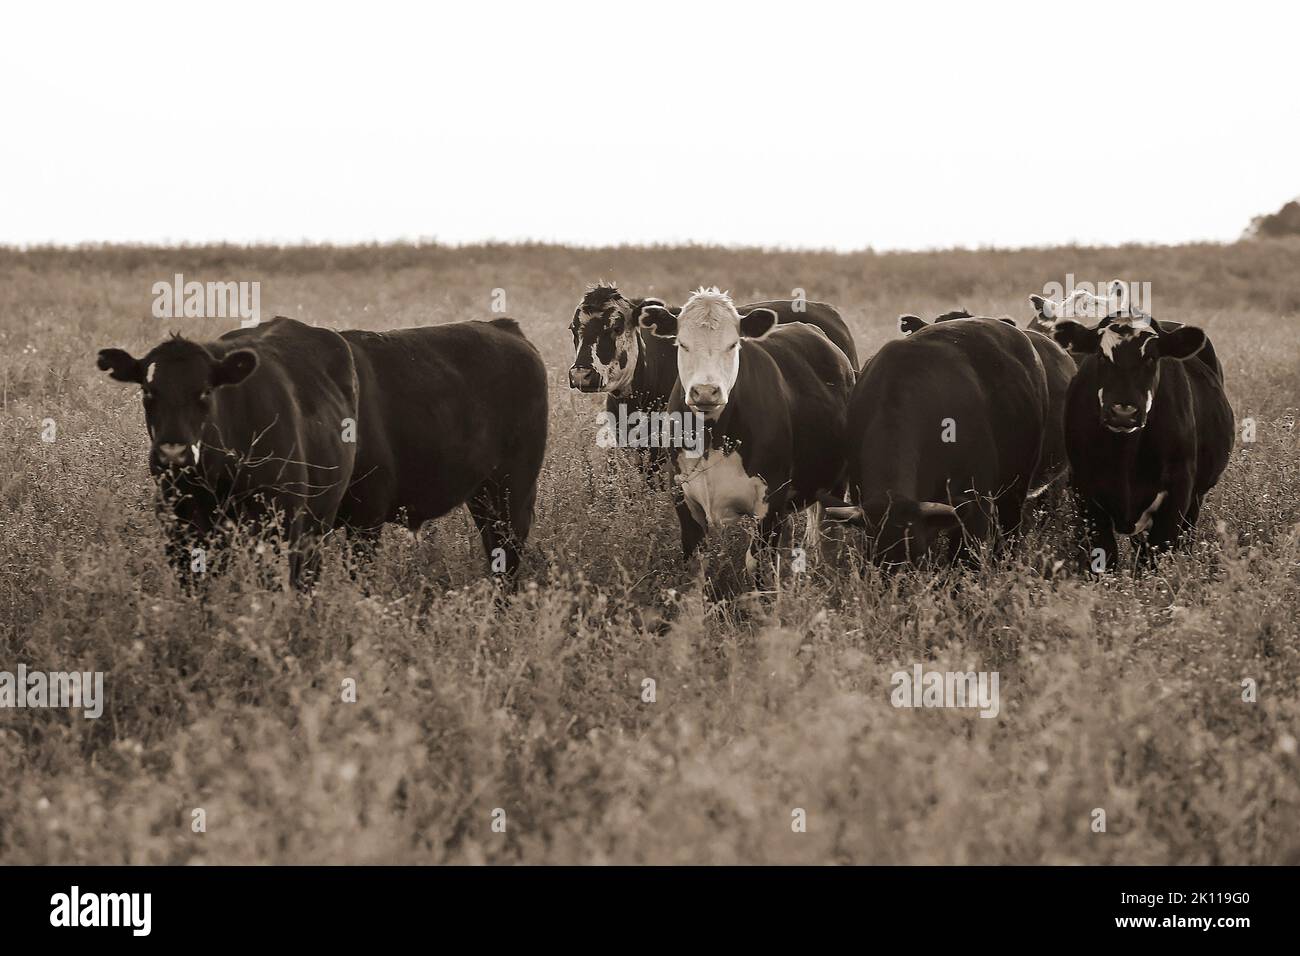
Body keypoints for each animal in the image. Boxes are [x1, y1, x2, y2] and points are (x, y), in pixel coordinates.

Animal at [97, 317, 359, 588]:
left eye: (205, 391)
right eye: (148, 391)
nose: (172, 452)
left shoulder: (281, 523)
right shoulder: (179, 530)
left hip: (319, 524)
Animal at [637, 288, 856, 577]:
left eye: (733, 345)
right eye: (682, 344)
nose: (705, 392)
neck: (713, 438)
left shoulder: (771, 502)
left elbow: (757, 563)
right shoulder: (683, 499)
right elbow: (695, 565)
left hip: (835, 484)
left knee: (828, 538)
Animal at [1048, 311, 1233, 571]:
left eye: (1152, 358)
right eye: (1101, 355)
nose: (1123, 412)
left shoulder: (1177, 493)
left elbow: (1156, 557)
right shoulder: (1084, 494)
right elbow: (1103, 558)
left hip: (1197, 496)